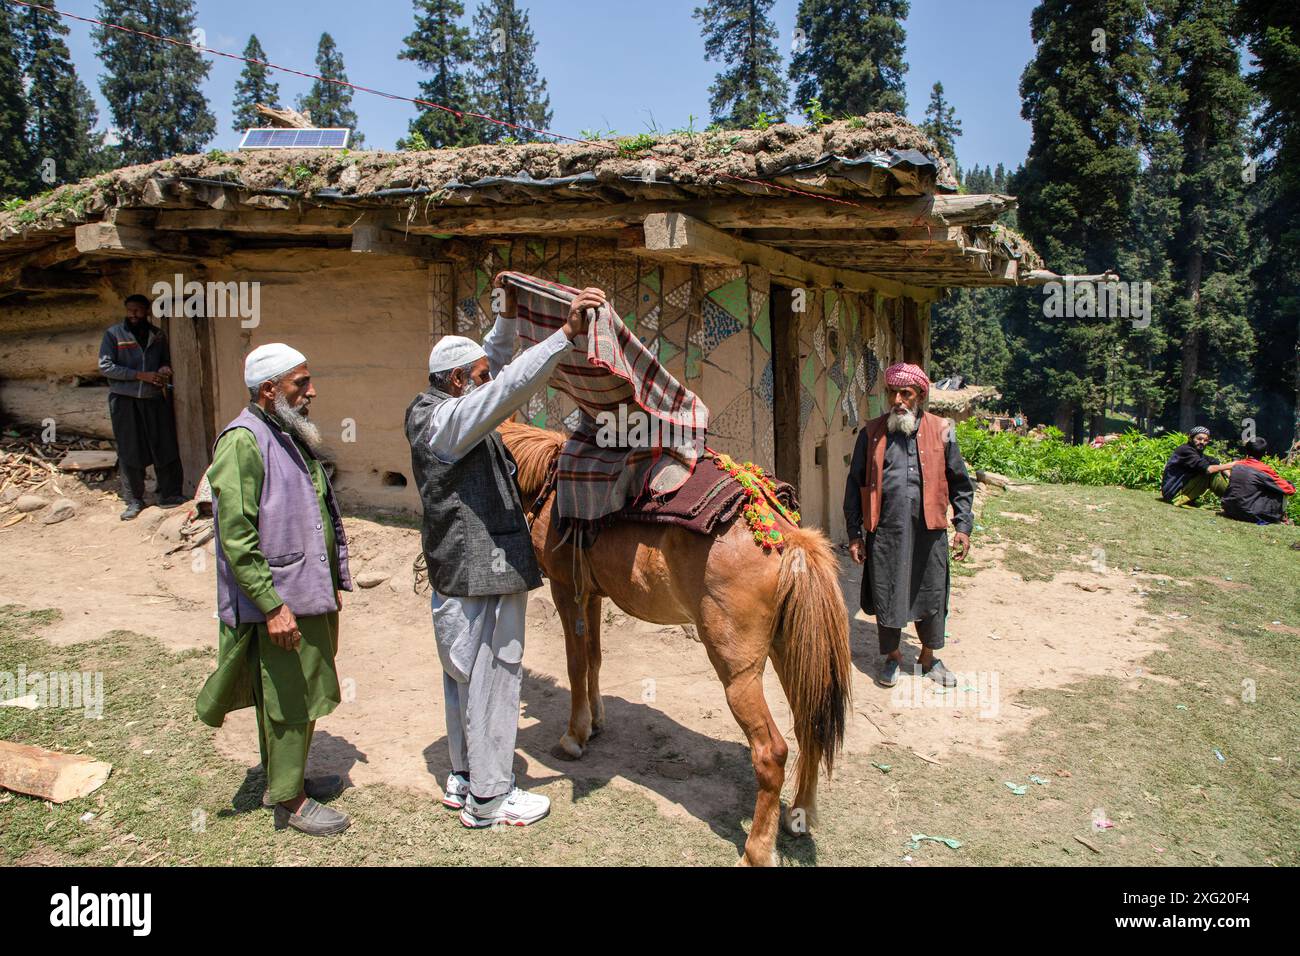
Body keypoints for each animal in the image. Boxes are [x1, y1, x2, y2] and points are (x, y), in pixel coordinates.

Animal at [499, 421, 852, 866]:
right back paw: (799, 816)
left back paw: (756, 850)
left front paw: (574, 736)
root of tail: (790, 541)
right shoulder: (593, 594)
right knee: (809, 726)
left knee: (771, 752)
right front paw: (595, 723)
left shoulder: (568, 589)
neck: (546, 479)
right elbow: (594, 659)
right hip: (791, 651)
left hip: (738, 671)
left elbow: (576, 665)